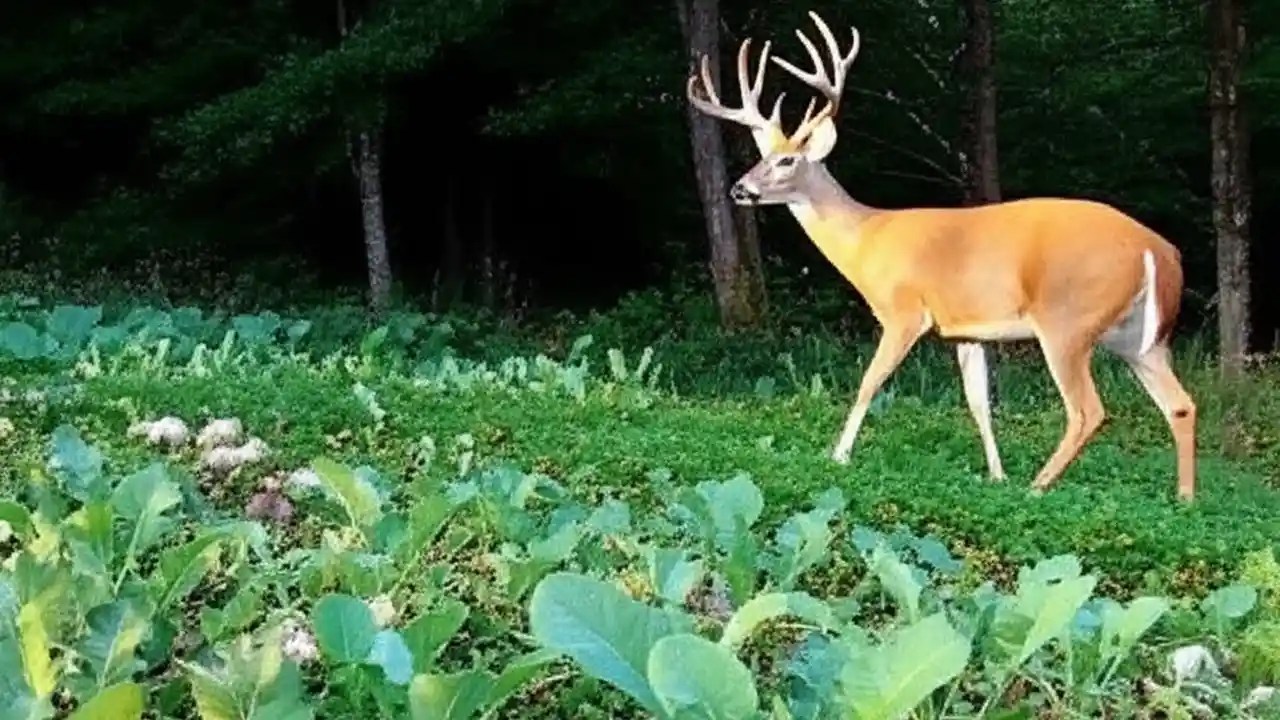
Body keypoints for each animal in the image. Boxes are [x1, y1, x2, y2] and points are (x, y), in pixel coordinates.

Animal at [685, 10, 1198, 501]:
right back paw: (1184, 498)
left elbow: (870, 381)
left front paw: (839, 455)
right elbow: (979, 404)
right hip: (1137, 336)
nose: (739, 188)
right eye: (762, 157)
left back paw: (1038, 486)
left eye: (787, 160)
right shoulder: (966, 330)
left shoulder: (903, 312)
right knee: (1180, 403)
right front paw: (996, 475)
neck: (866, 239)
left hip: (1069, 320)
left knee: (1088, 410)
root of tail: (1159, 249)